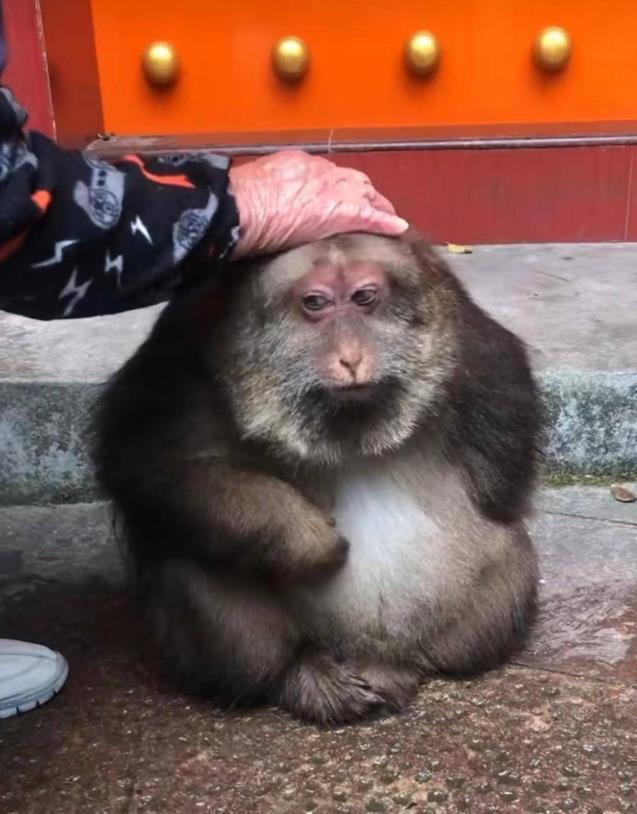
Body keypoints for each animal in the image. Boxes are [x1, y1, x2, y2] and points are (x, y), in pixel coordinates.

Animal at [92, 228, 542, 726]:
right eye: (315, 303)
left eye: (365, 297)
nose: (351, 357)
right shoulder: (183, 342)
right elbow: (147, 459)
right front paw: (304, 537)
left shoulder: (462, 326)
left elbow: (506, 450)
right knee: (189, 559)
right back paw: (294, 672)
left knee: (507, 551)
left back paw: (401, 665)